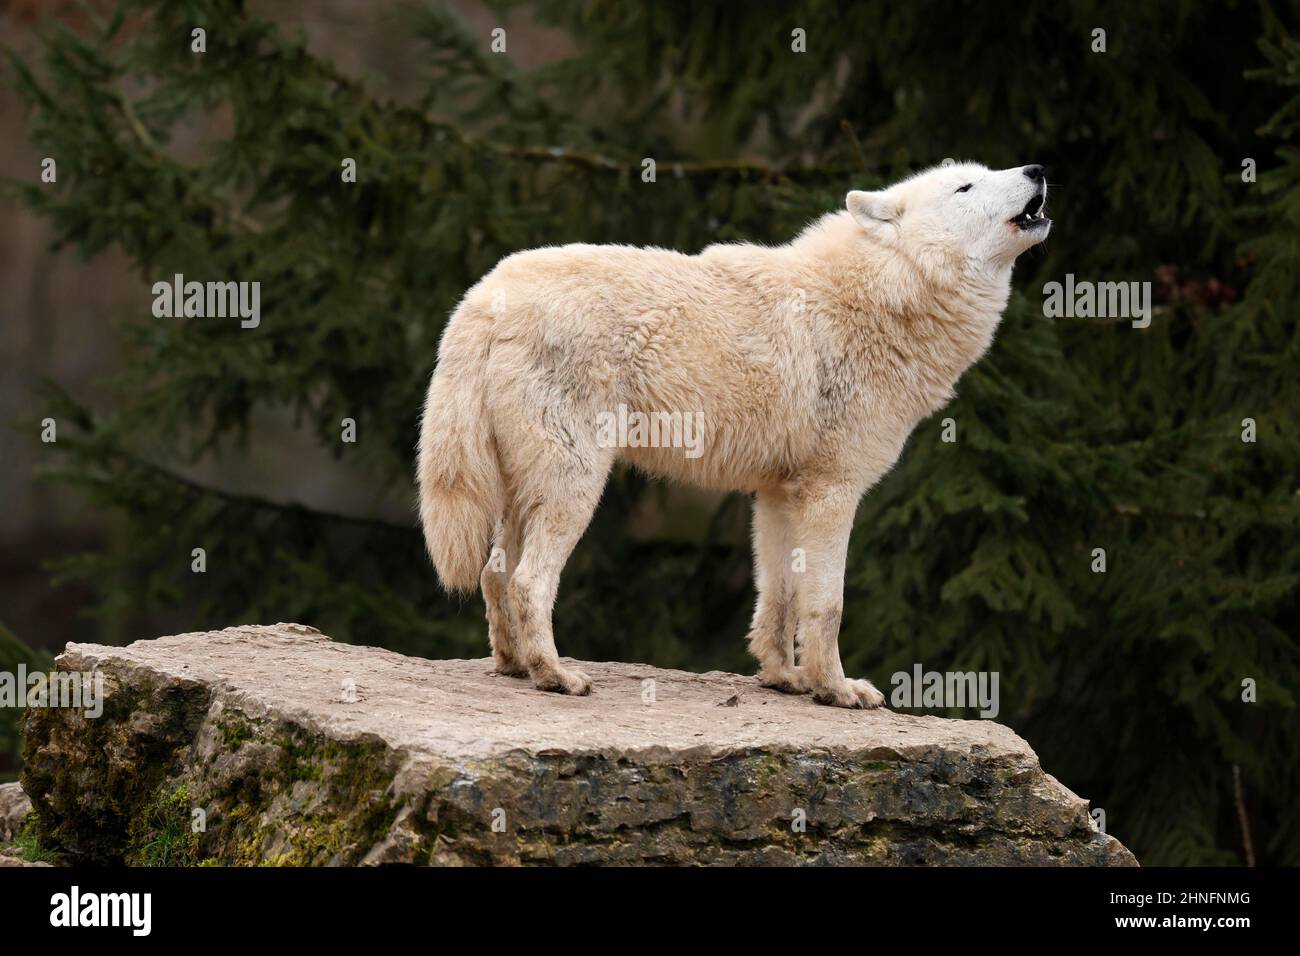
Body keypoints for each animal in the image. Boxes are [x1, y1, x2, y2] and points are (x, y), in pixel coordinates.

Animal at [417, 161, 1050, 707]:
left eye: (986, 171)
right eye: (966, 187)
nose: (1038, 169)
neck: (882, 296)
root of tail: (483, 298)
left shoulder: (776, 494)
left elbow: (780, 599)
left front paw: (784, 679)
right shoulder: (832, 493)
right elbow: (827, 607)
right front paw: (835, 690)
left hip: (523, 491)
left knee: (495, 574)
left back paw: (516, 667)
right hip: (575, 487)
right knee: (527, 582)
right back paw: (556, 675)